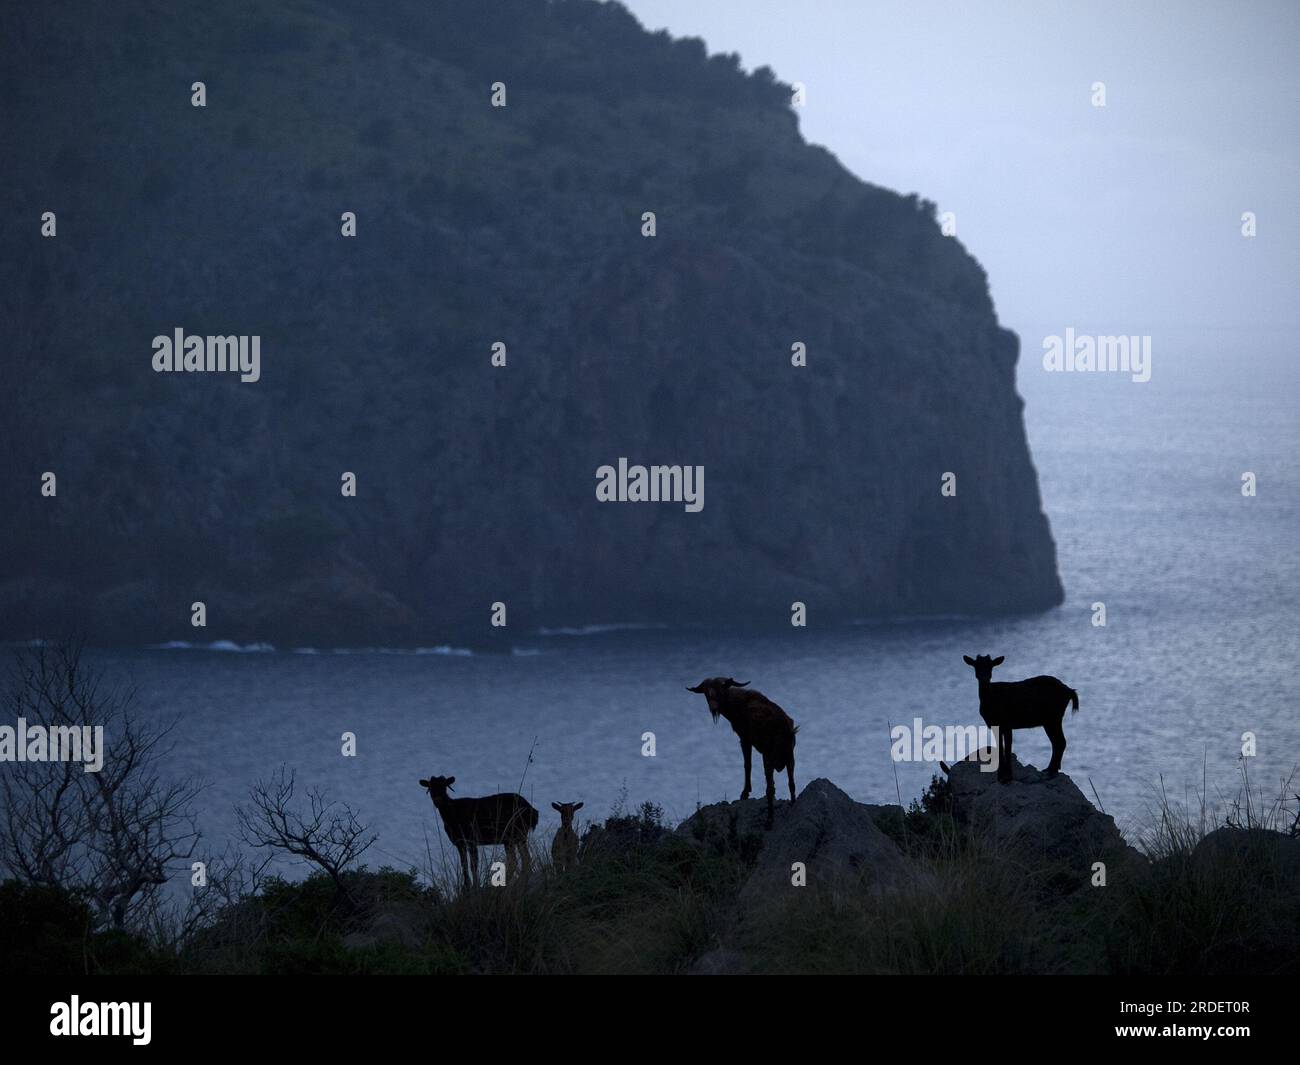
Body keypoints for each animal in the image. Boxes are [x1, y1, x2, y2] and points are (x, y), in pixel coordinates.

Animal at [686, 677, 797, 829]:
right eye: (706, 693)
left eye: (720, 690)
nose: (713, 708)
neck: (739, 705)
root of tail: (786, 731)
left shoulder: (745, 738)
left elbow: (747, 764)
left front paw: (745, 793)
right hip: (789, 756)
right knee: (791, 782)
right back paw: (793, 803)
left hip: (768, 756)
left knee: (770, 788)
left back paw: (769, 821)